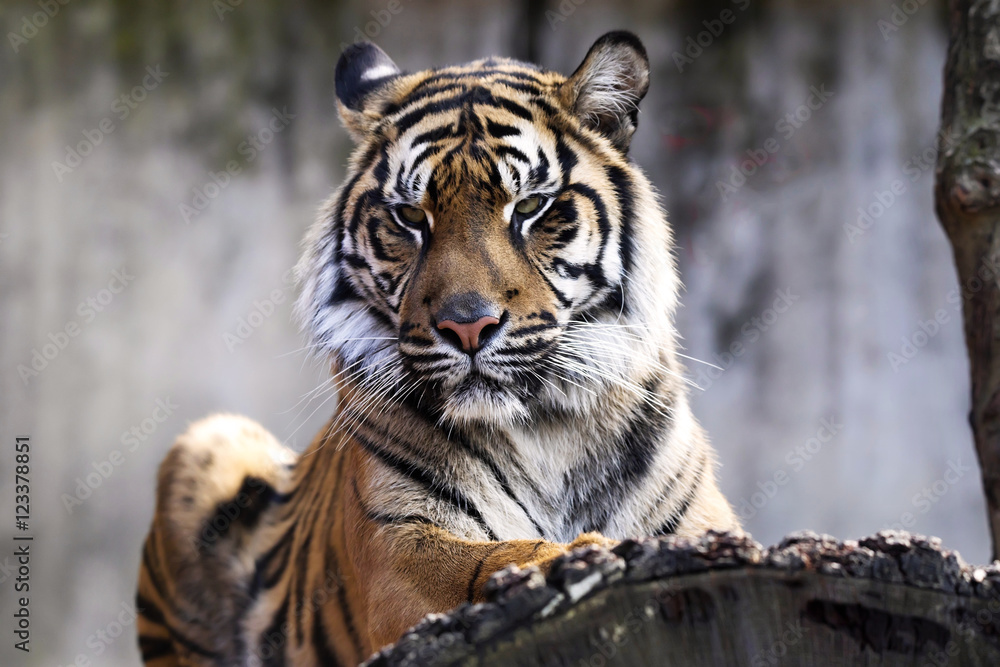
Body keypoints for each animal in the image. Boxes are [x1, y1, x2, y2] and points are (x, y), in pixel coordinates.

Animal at [135, 31, 740, 666]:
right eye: (410, 216)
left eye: (530, 207)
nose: (468, 327)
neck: (549, 434)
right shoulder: (394, 549)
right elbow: (491, 560)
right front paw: (574, 558)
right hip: (210, 440)